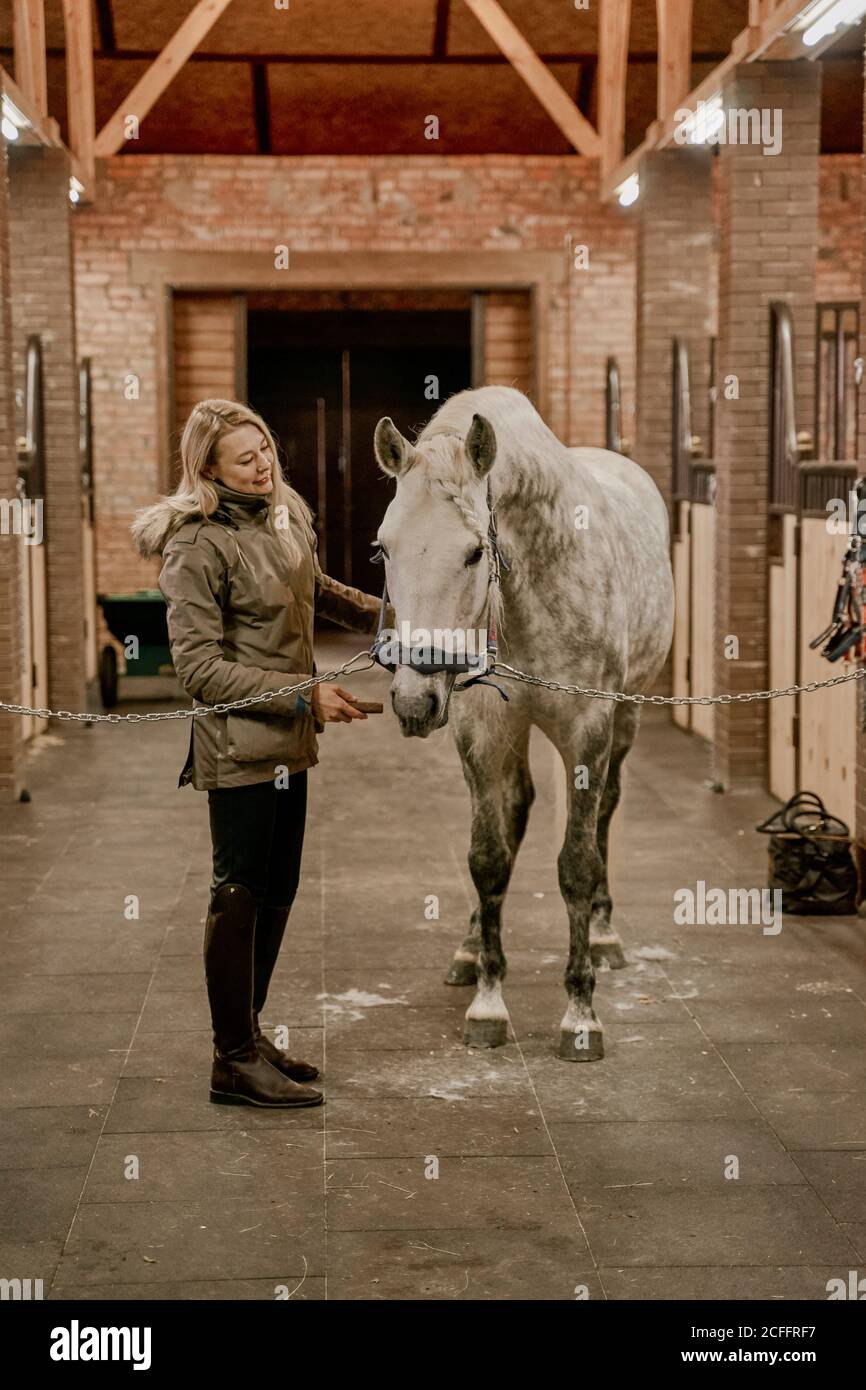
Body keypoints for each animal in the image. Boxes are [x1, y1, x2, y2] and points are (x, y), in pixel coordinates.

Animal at [372, 386, 674, 1060]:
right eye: (383, 547)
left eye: (474, 551)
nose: (412, 699)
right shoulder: (483, 728)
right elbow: (489, 856)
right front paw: (488, 1002)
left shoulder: (588, 729)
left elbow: (576, 863)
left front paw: (580, 1013)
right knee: (510, 817)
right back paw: (469, 947)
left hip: (629, 715)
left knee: (606, 811)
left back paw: (605, 934)